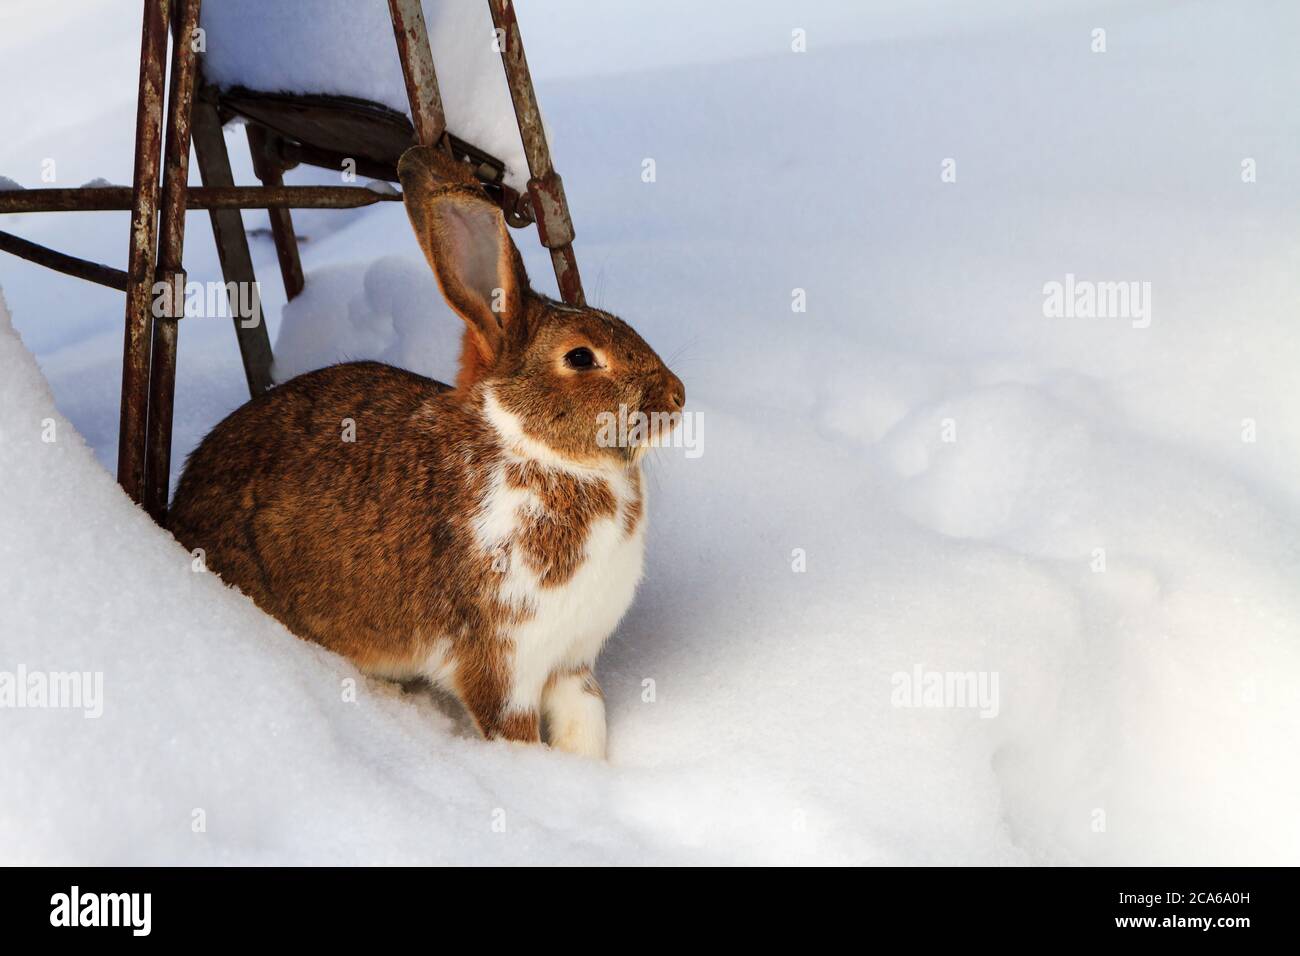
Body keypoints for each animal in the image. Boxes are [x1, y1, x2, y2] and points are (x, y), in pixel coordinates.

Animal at [167, 145, 684, 758]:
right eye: (581, 358)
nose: (677, 396)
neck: (541, 451)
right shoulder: (501, 658)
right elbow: (511, 729)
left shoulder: (572, 662)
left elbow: (587, 720)